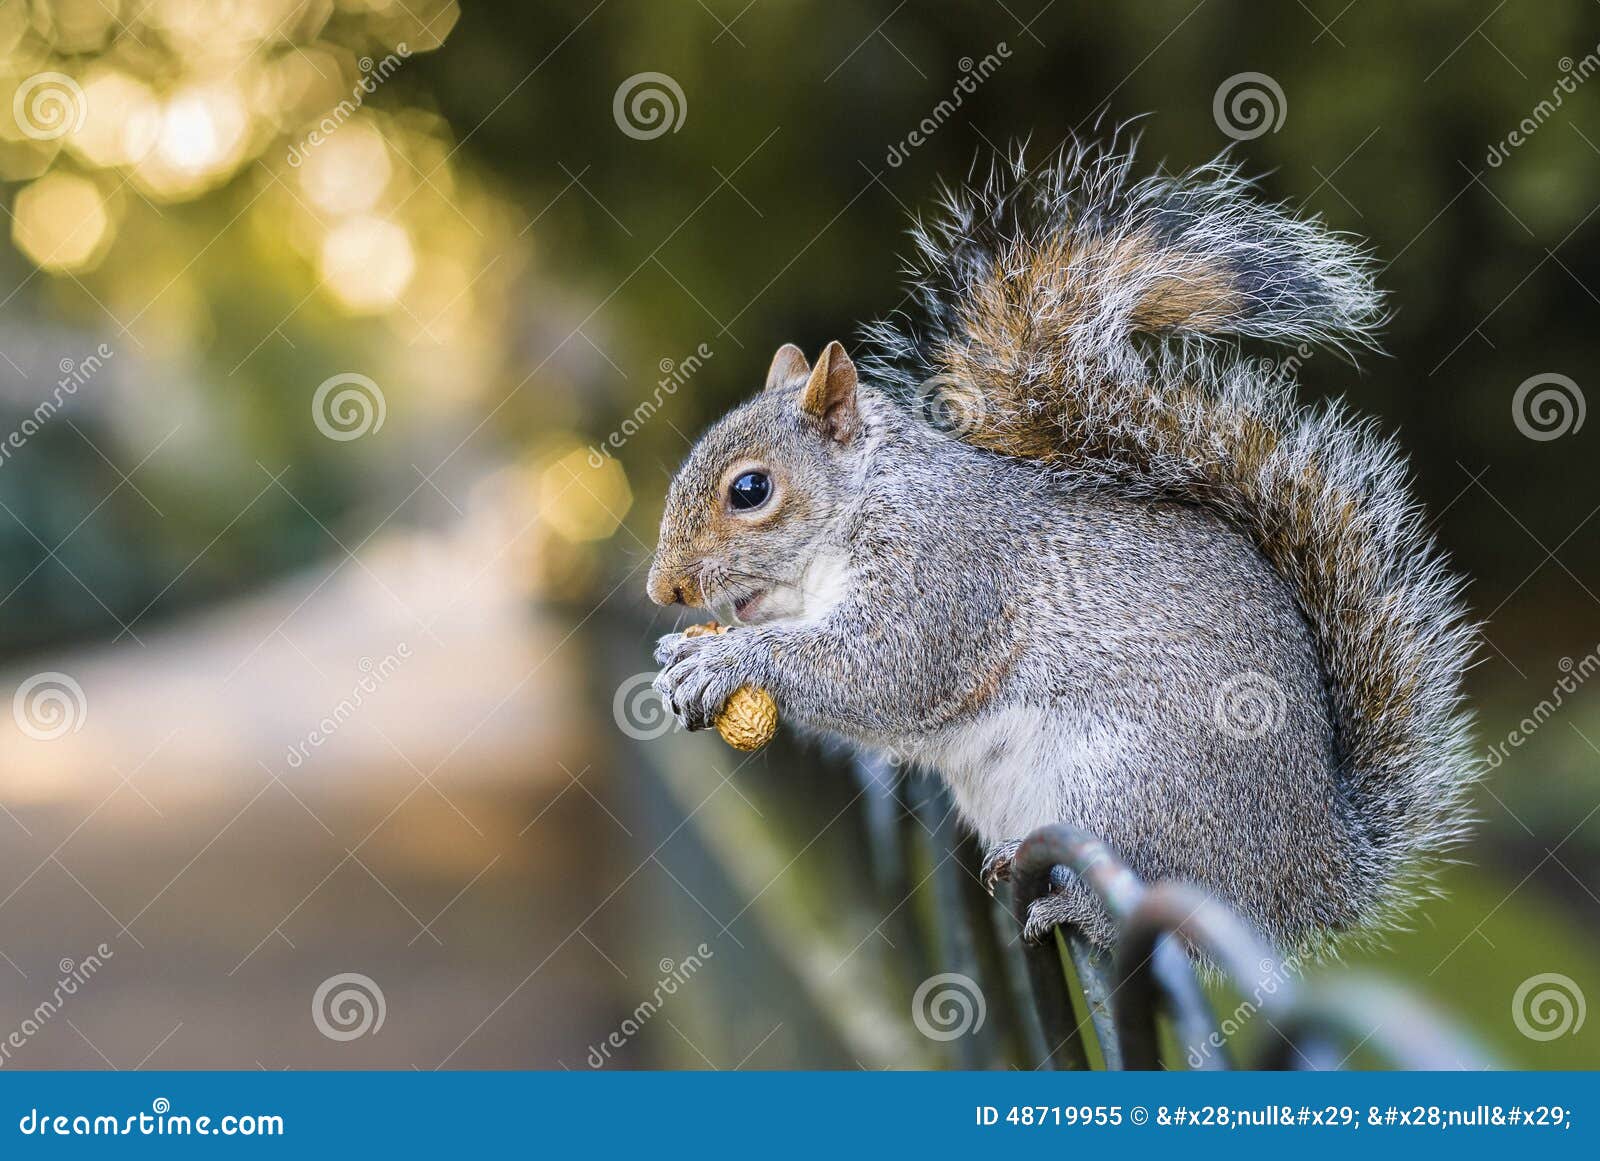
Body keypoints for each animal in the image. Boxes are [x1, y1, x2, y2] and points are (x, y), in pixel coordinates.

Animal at [645, 140, 1477, 955]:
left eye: (751, 490)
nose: (664, 590)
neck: (868, 499)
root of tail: (1311, 876)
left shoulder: (945, 568)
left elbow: (885, 670)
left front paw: (726, 658)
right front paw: (680, 651)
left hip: (1130, 787)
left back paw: (1086, 909)